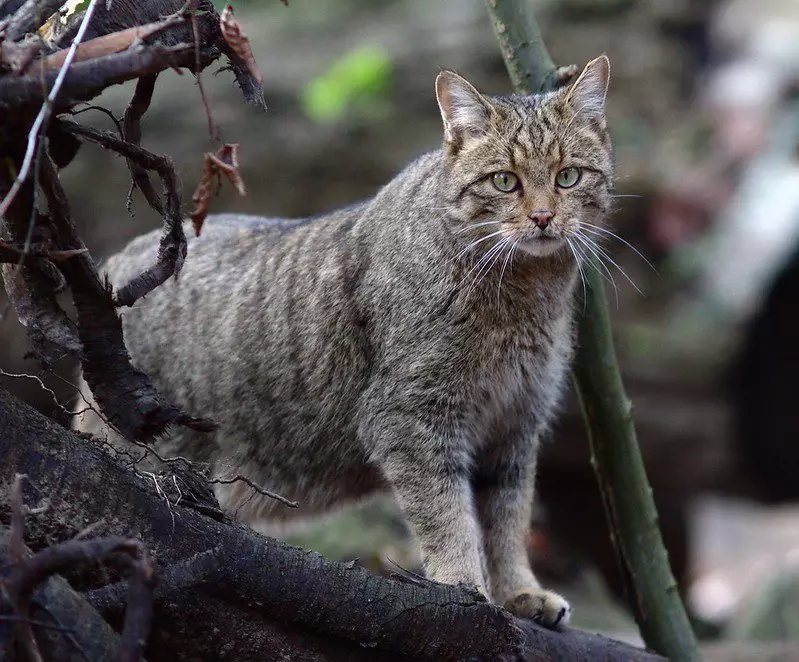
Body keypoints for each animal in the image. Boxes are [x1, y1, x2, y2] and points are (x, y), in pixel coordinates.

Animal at [73, 55, 612, 628]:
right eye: (505, 181)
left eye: (568, 176)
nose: (542, 217)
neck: (524, 296)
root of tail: (119, 260)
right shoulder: (410, 418)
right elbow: (446, 513)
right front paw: (464, 586)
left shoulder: (516, 425)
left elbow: (508, 520)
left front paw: (520, 591)